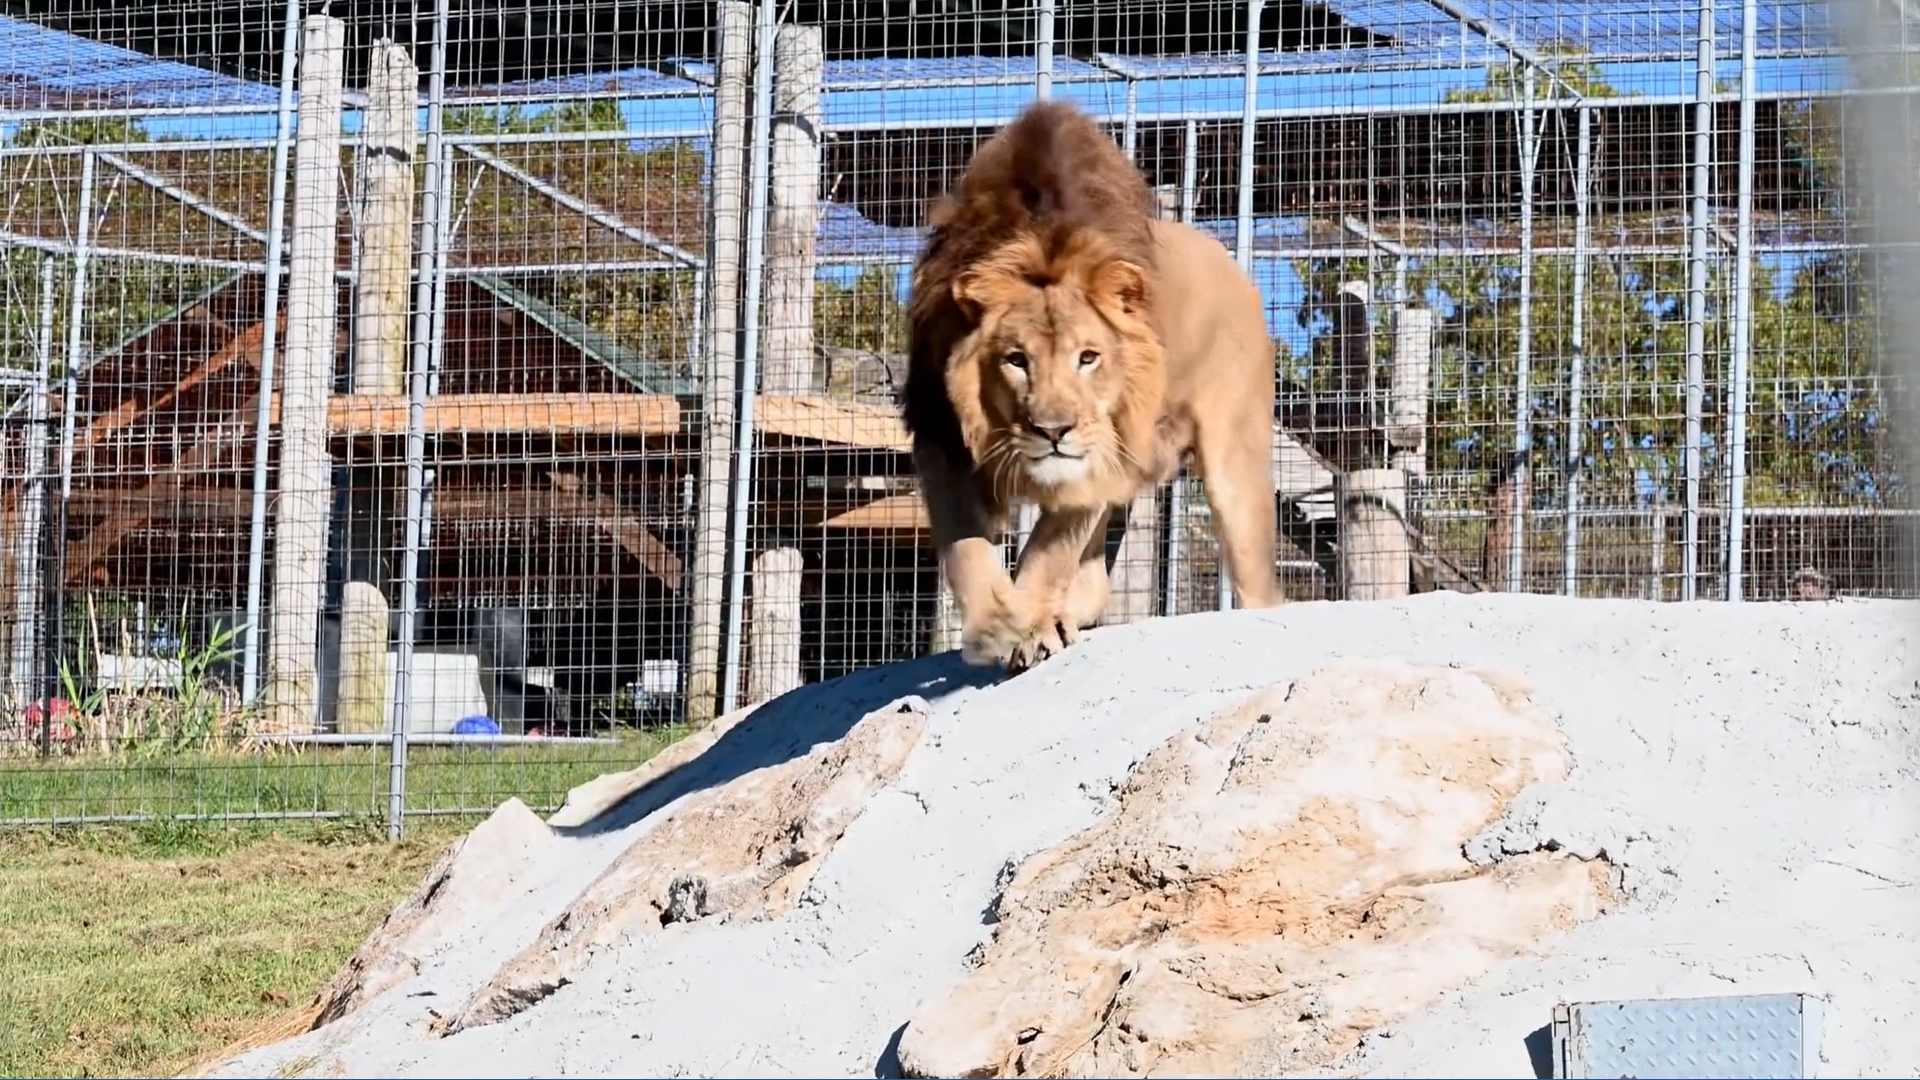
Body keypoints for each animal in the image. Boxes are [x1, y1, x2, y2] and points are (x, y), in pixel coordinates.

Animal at [902, 99, 1282, 672]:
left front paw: (1029, 622)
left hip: (1234, 468)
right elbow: (966, 547)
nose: (1053, 430)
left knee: (1264, 590)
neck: (1043, 240)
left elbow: (1051, 547)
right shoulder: (940, 434)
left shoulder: (1107, 443)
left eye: (1088, 357)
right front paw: (1000, 624)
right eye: (1016, 360)